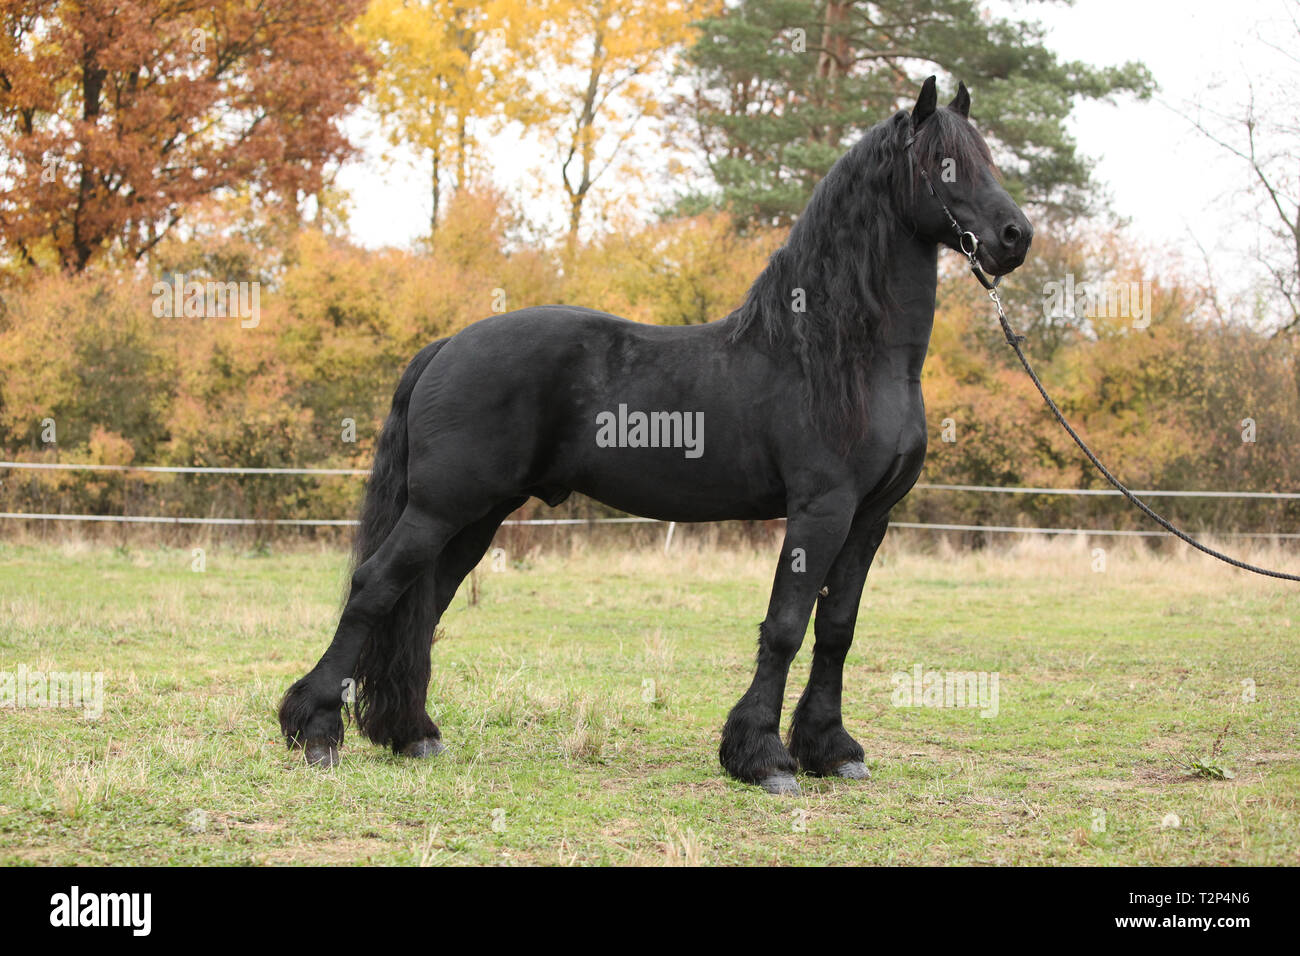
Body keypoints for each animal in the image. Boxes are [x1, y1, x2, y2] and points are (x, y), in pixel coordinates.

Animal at [279, 76, 1033, 794]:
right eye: (944, 164)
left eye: (987, 158)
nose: (1015, 237)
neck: (835, 352)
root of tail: (447, 345)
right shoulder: (821, 509)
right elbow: (786, 627)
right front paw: (763, 758)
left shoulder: (870, 517)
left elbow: (836, 630)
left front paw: (831, 750)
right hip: (443, 508)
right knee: (375, 587)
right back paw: (315, 729)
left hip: (476, 517)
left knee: (422, 605)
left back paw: (412, 733)